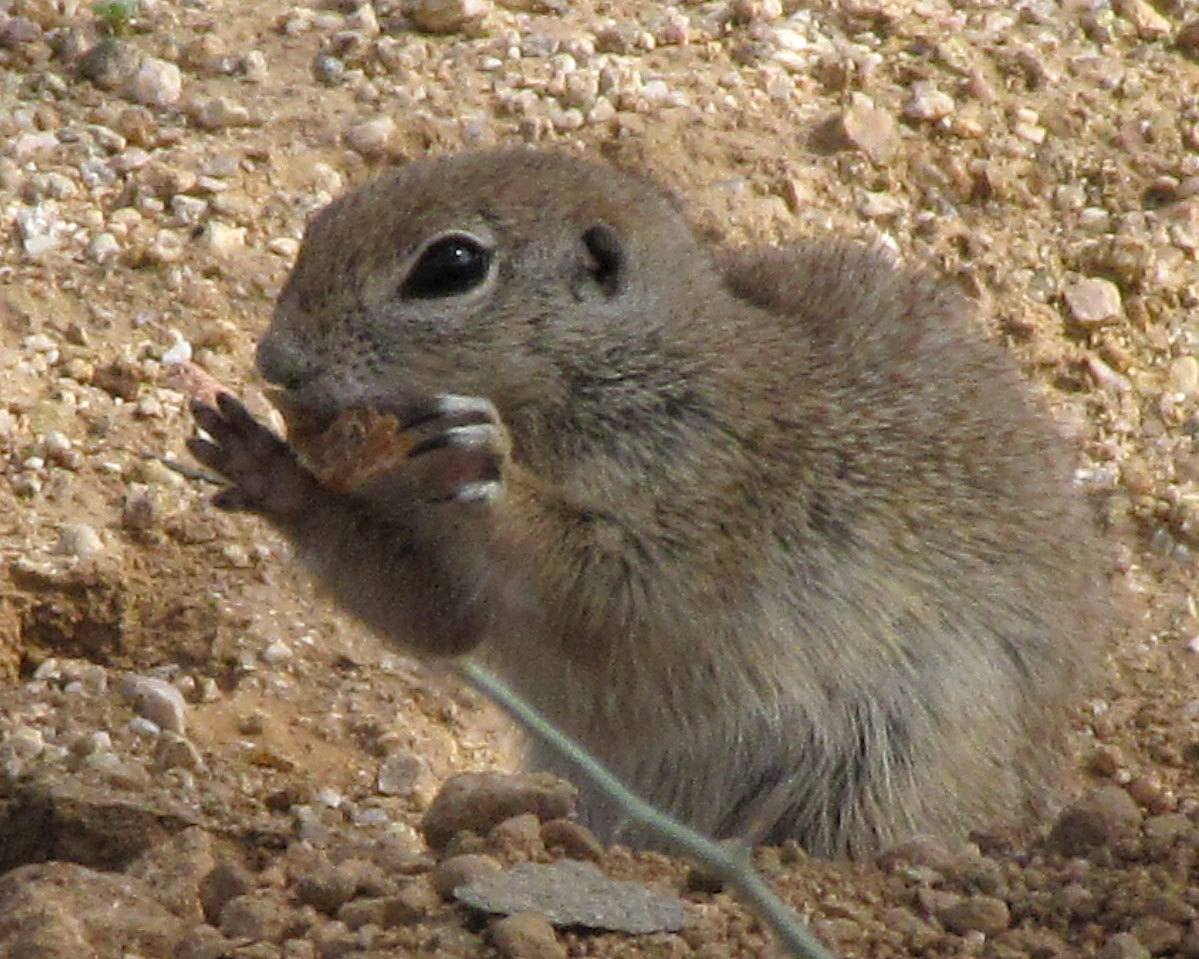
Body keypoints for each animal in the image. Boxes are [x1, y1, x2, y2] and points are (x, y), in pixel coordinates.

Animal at [188, 149, 1103, 858]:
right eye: (318, 222)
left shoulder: (704, 496)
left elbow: (606, 592)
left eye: (451, 265)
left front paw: (488, 461)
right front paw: (265, 464)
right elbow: (432, 614)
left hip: (891, 765)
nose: (275, 360)